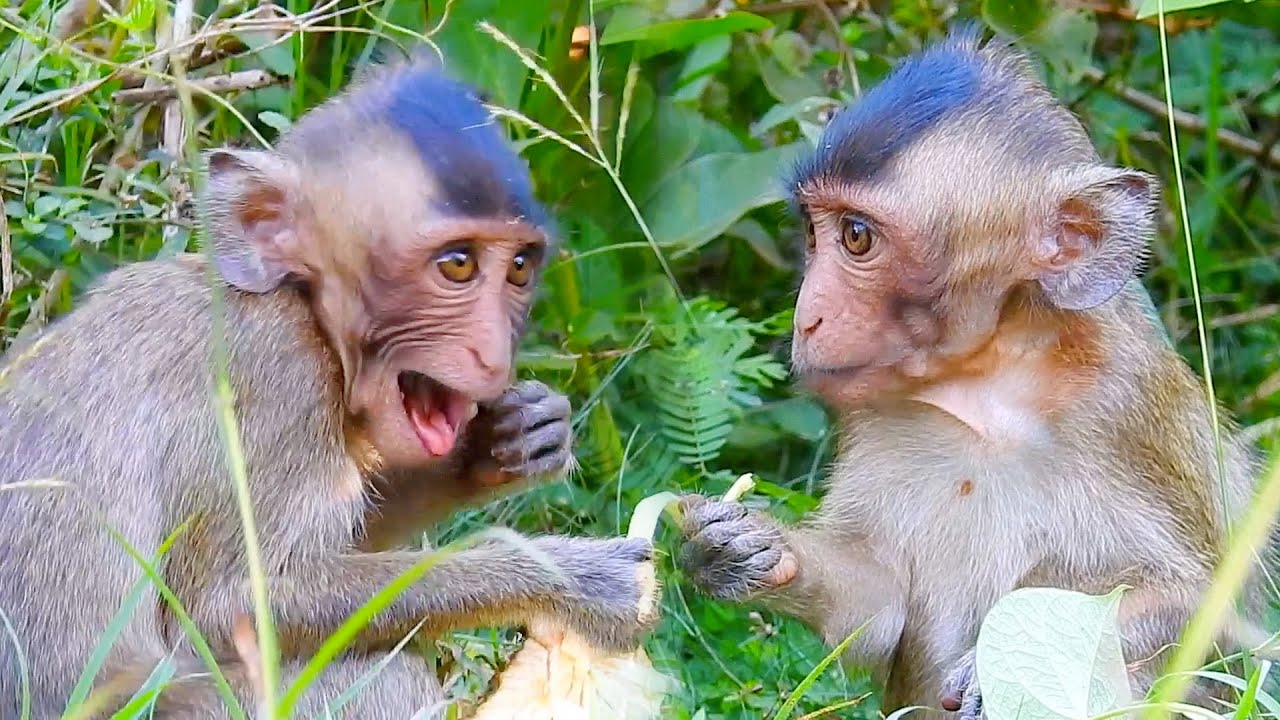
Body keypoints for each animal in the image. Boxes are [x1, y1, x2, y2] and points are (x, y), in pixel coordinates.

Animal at [0, 62, 655, 720]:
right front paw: (572, 579)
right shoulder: (272, 379)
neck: (303, 307)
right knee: (382, 675)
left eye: (520, 267)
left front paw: (507, 442)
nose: (493, 355)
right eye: (458, 265)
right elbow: (230, 607)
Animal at [676, 26, 1273, 720]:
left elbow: (1206, 613)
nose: (808, 316)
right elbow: (877, 606)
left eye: (856, 237)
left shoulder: (1123, 405)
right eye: (813, 232)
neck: (991, 385)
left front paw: (1008, 659)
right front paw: (747, 548)